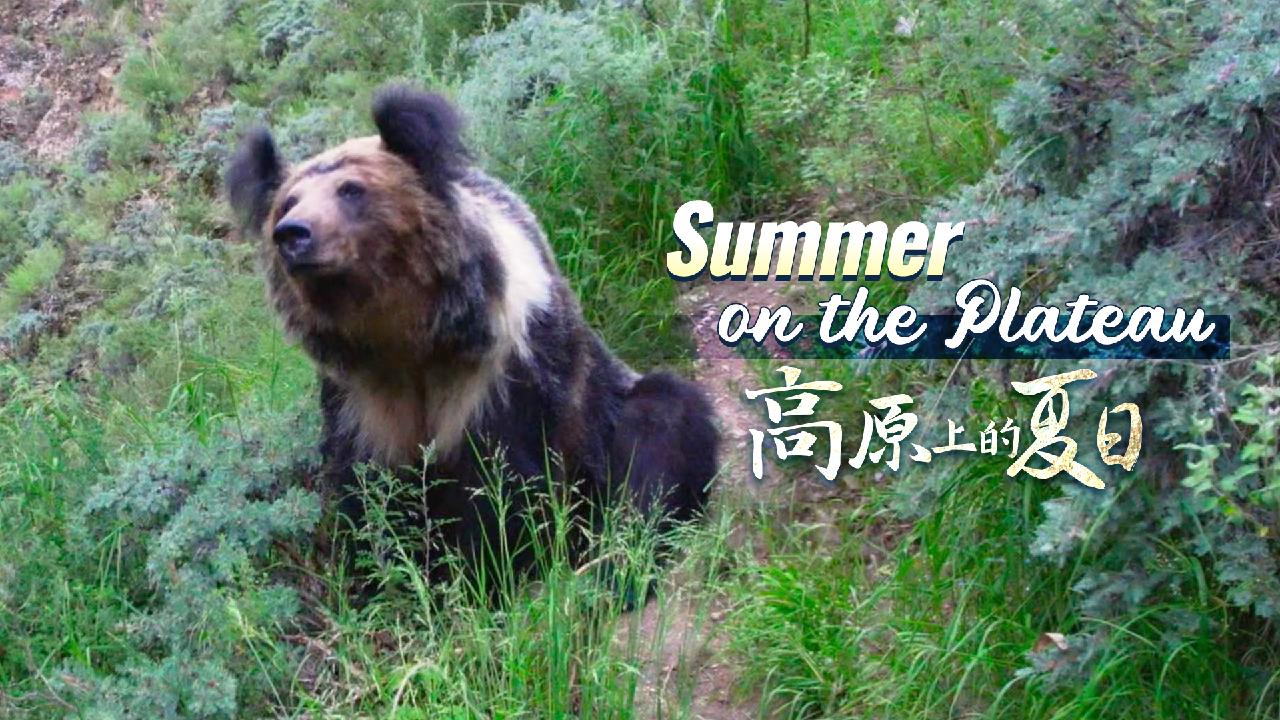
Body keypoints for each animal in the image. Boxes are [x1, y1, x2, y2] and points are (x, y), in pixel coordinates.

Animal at [225, 85, 718, 590]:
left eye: (350, 189)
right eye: (289, 202)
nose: (293, 235)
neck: (407, 332)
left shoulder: (498, 371)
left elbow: (500, 485)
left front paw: (485, 573)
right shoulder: (361, 395)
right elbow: (369, 493)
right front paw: (389, 574)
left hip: (604, 418)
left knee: (660, 432)